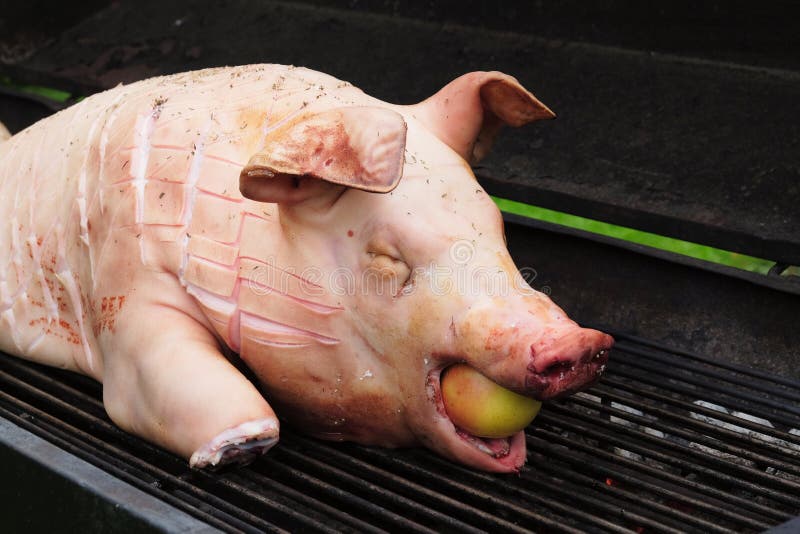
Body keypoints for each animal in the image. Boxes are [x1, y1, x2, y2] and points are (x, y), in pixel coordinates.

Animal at [0, 64, 612, 473]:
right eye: (386, 258)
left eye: (497, 228)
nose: (579, 343)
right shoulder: (125, 278)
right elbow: (160, 377)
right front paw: (240, 447)